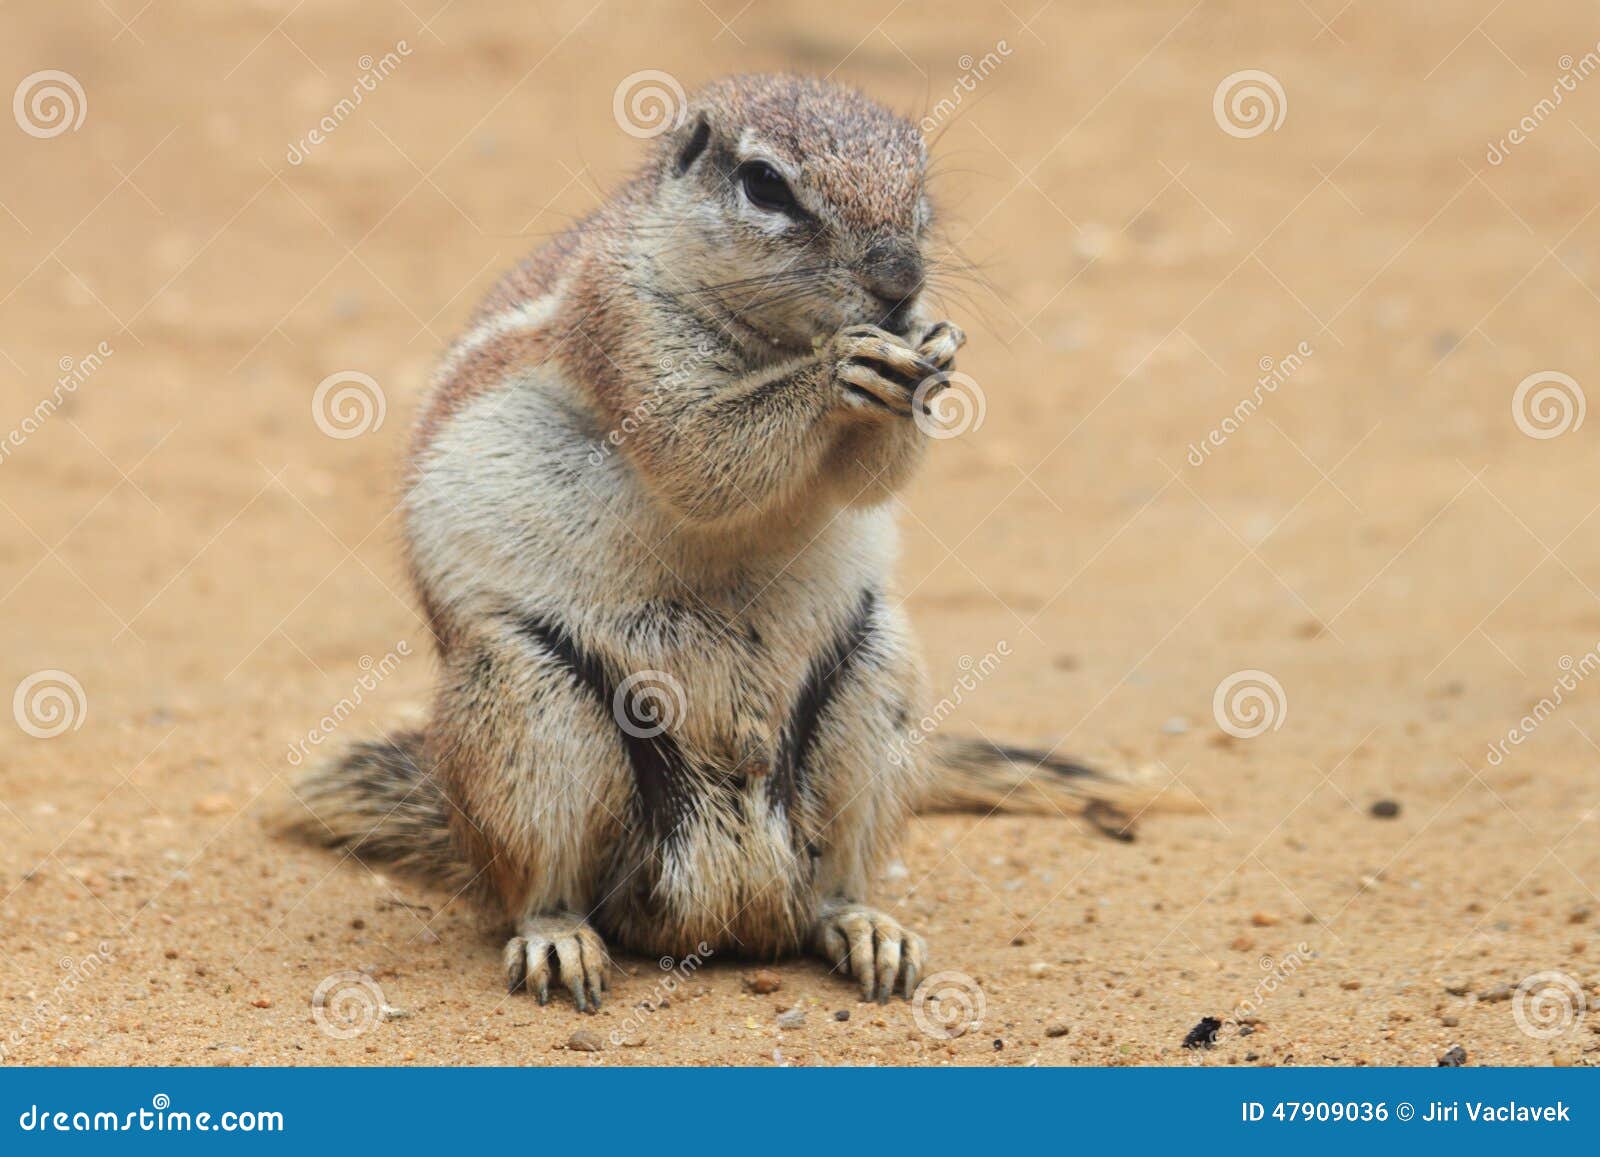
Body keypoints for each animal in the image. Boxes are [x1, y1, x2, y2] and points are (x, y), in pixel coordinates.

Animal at [282, 74, 1151, 1011]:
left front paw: (933, 354)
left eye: (921, 184)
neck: (776, 338)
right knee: (540, 885)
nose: (900, 280)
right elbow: (696, 451)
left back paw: (865, 926)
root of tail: (726, 896)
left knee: (828, 882)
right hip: (523, 703)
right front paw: (838, 373)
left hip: (870, 680)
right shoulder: (621, 323)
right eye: (765, 184)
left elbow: (867, 480)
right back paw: (559, 938)